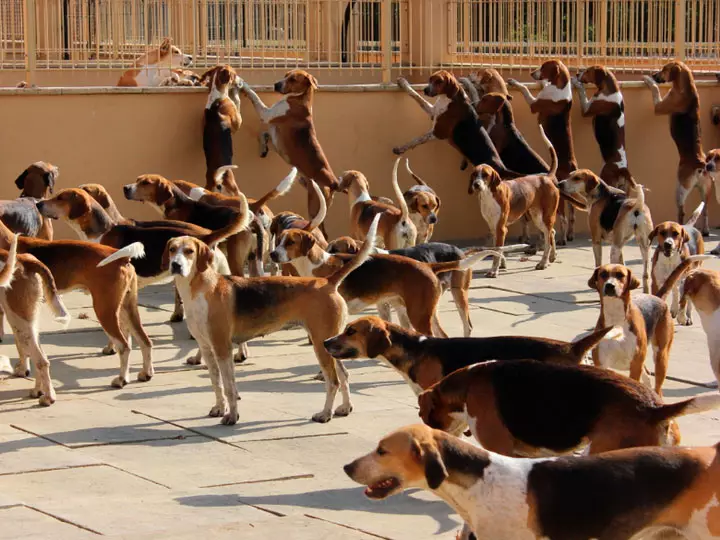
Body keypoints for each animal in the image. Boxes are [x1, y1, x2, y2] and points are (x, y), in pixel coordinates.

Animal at [165, 213, 382, 424]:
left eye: (189, 251)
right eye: (172, 249)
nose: (175, 265)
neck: (201, 288)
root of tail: (326, 281)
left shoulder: (222, 348)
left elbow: (229, 387)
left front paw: (232, 417)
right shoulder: (206, 347)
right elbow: (216, 383)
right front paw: (219, 408)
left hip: (321, 344)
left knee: (333, 381)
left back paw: (325, 414)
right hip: (332, 344)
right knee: (344, 376)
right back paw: (345, 408)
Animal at [472, 127, 564, 276]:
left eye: (485, 175)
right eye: (474, 174)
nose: (476, 184)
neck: (489, 196)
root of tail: (546, 176)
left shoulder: (501, 228)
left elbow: (498, 251)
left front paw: (494, 271)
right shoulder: (493, 228)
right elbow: (498, 250)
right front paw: (502, 265)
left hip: (547, 216)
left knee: (548, 237)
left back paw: (543, 262)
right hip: (537, 217)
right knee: (551, 233)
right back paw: (551, 257)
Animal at [506, 60, 580, 244]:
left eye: (544, 66)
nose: (532, 73)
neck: (561, 87)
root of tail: (572, 165)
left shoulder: (534, 104)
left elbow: (524, 90)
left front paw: (516, 82)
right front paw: (541, 83)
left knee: (563, 218)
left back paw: (562, 238)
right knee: (572, 215)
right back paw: (570, 234)